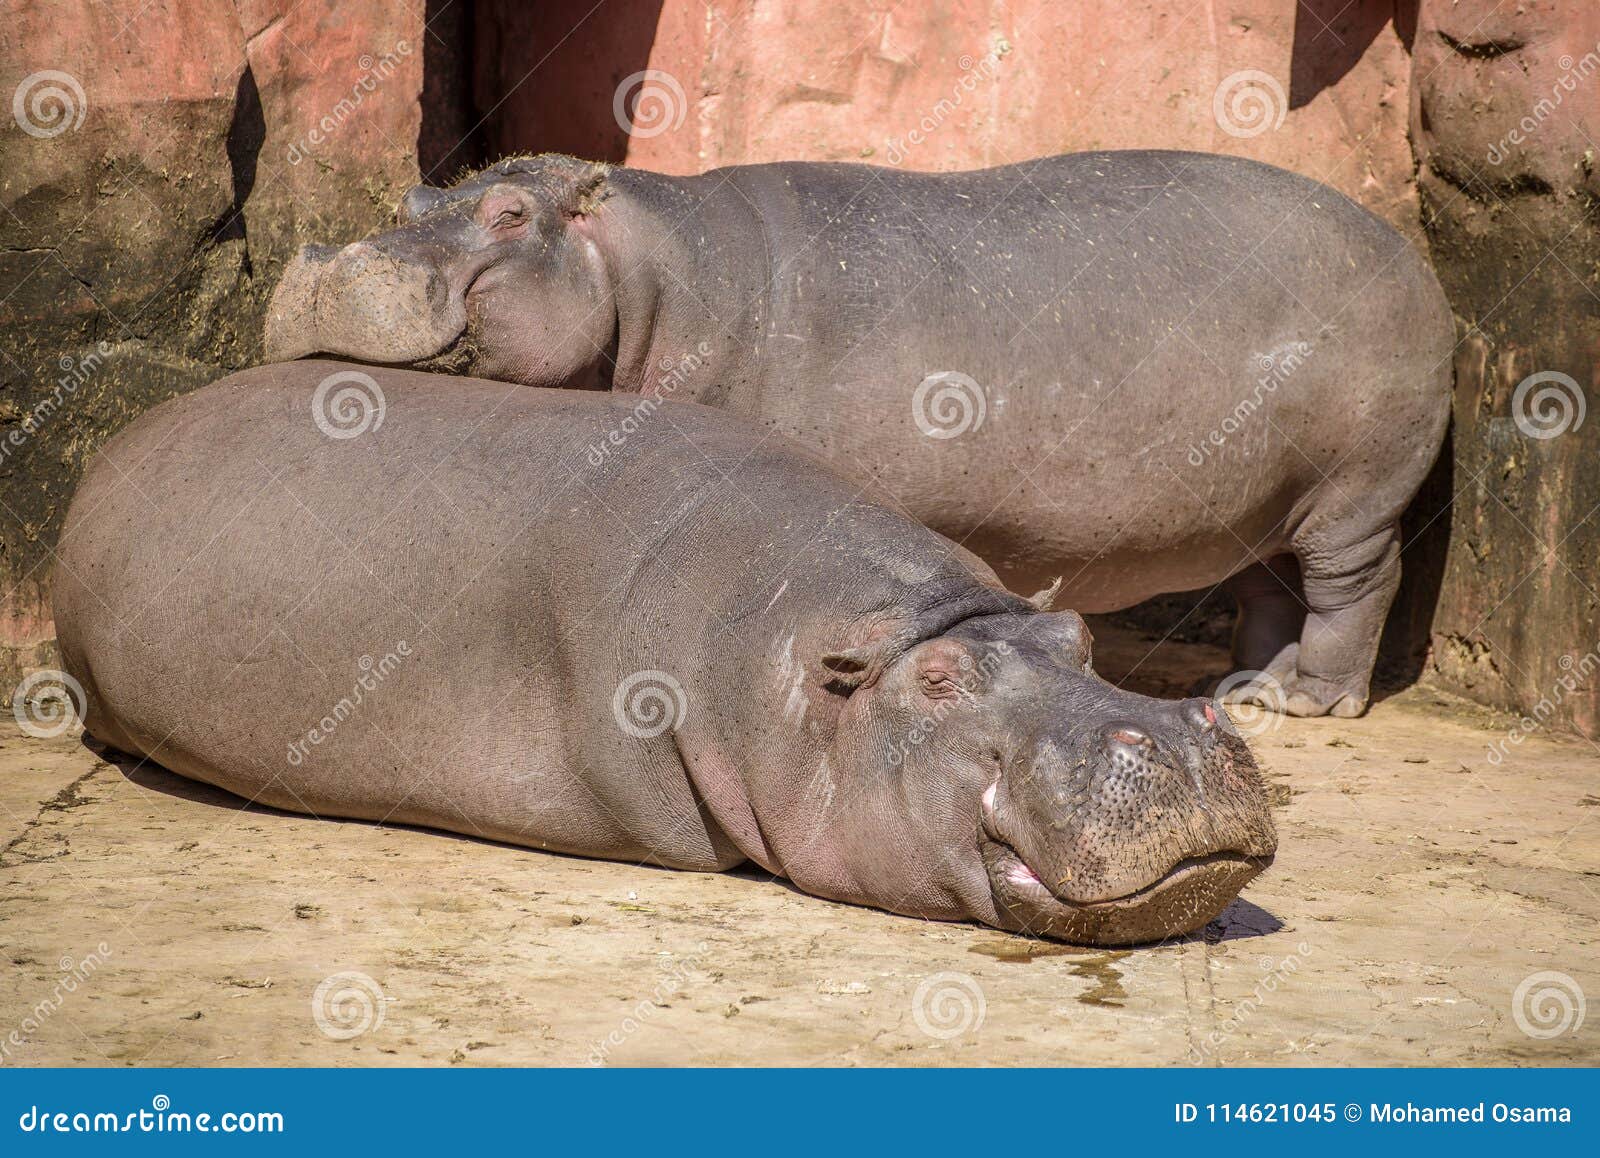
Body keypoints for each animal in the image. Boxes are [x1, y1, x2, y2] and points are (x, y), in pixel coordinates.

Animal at [266, 149, 1454, 720]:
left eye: (510, 215)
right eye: (415, 194)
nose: (323, 261)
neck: (650, 275)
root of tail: (1410, 253)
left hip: (1356, 490)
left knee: (1357, 582)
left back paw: (1311, 702)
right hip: (1269, 492)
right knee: (1272, 582)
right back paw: (1241, 689)